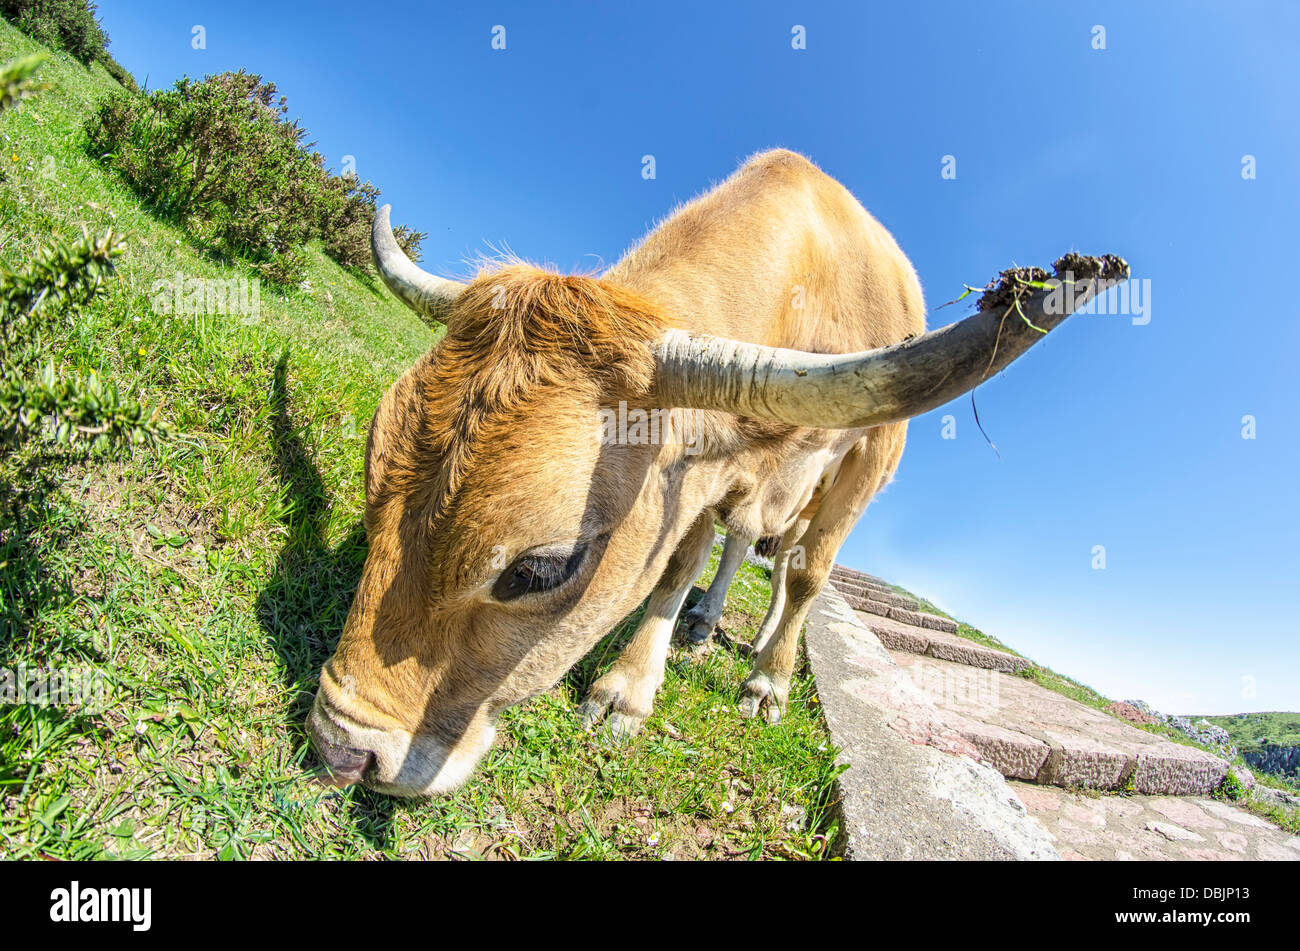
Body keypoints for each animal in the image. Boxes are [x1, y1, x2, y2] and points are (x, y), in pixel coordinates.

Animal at [307, 148, 1125, 797]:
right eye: (372, 488)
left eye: (540, 570)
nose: (342, 750)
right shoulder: (699, 470)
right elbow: (680, 561)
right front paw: (632, 686)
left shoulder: (869, 456)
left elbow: (810, 573)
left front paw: (768, 682)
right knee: (738, 546)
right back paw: (704, 622)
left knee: (790, 560)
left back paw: (763, 645)